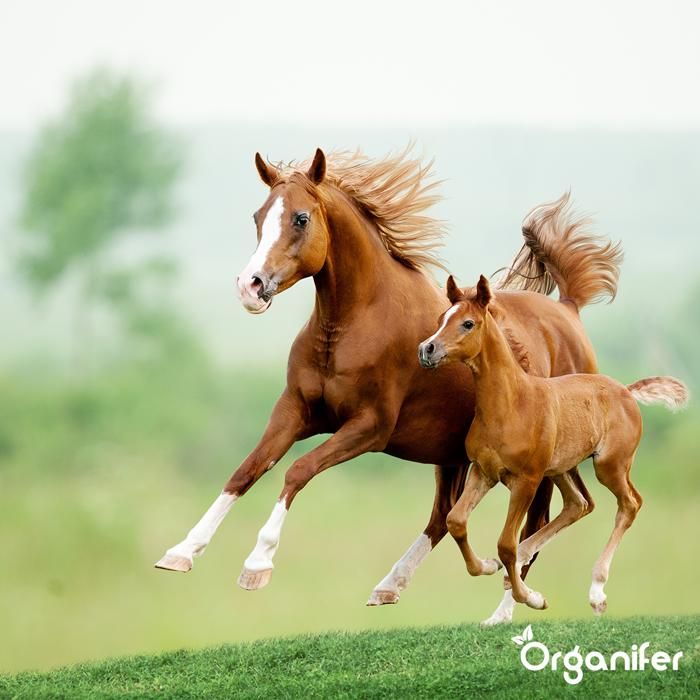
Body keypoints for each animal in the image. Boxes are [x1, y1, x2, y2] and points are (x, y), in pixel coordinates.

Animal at [155, 147, 623, 625]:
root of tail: (568, 311)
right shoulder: (295, 411)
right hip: (451, 454)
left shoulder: (369, 427)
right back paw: (391, 584)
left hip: (539, 464)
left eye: (301, 218)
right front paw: (181, 551)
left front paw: (257, 564)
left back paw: (506, 609)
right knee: (444, 516)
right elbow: (247, 470)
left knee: (535, 522)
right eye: (258, 216)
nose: (249, 287)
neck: (353, 323)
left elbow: (297, 470)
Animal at [418, 274, 688, 615]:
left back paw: (596, 591)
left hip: (608, 466)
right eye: (442, 318)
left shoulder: (526, 480)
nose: (427, 349)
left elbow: (505, 543)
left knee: (630, 503)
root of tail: (626, 391)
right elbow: (456, 521)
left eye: (468, 323)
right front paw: (488, 566)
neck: (511, 404)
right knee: (578, 504)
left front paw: (530, 597)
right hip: (560, 468)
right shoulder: (484, 472)